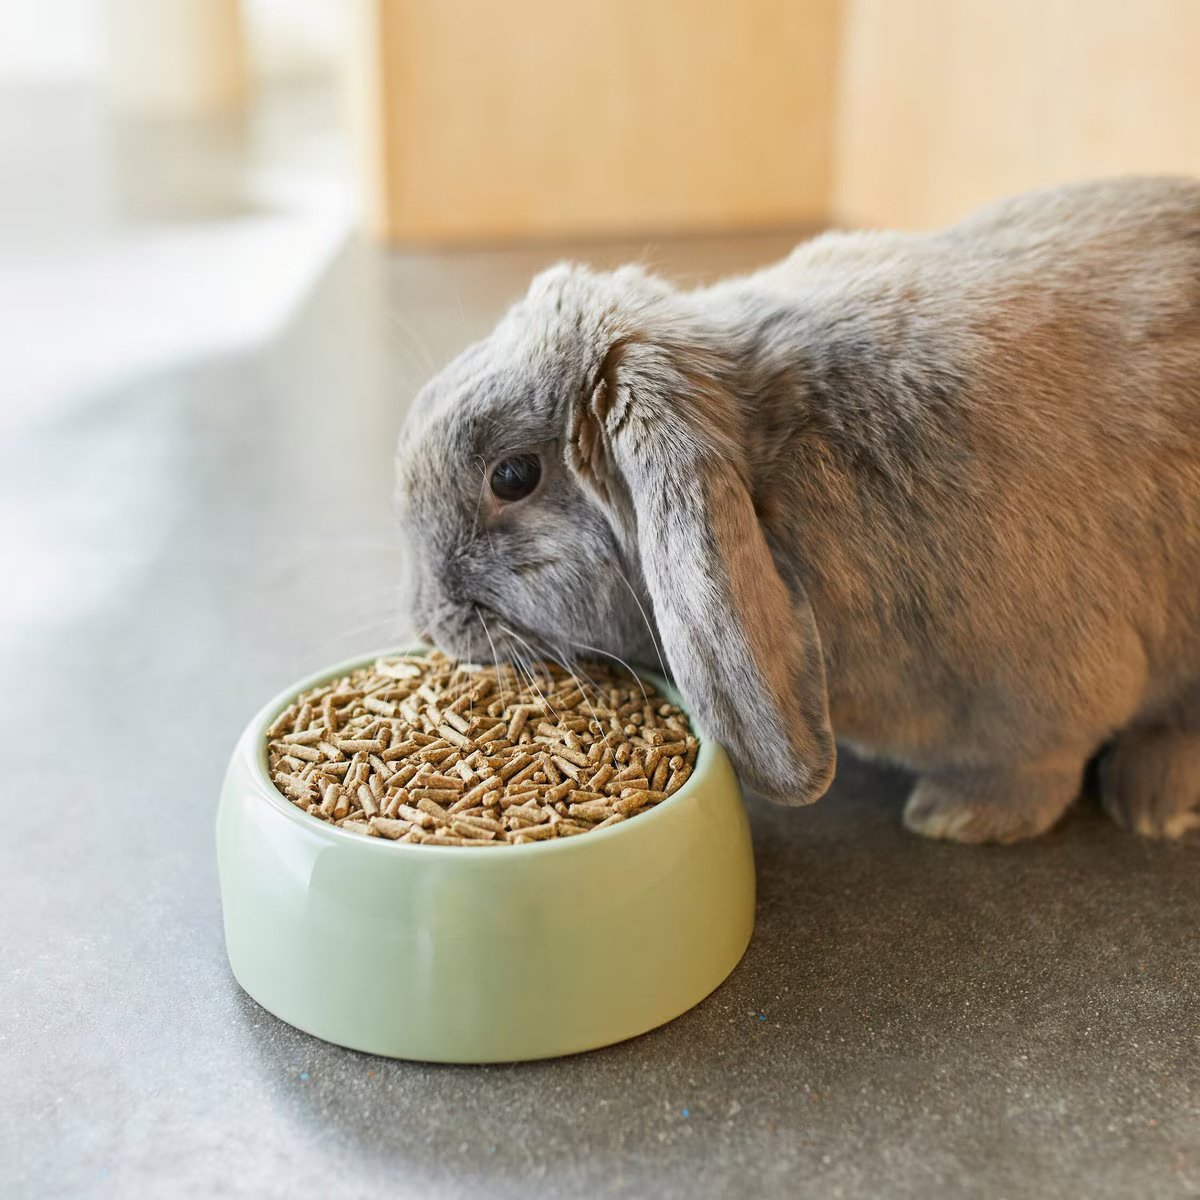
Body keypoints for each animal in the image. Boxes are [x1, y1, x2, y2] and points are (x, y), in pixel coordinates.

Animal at [394, 177, 1200, 844]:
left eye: (514, 475)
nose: (428, 620)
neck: (773, 471)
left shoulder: (1051, 695)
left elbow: (1036, 769)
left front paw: (955, 819)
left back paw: (1155, 805)